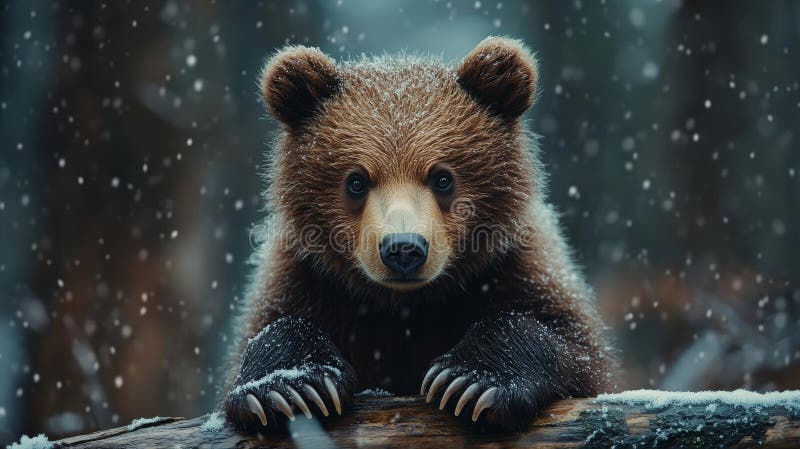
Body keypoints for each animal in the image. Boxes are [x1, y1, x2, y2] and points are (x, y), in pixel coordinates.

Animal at [222, 36, 611, 434]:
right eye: (356, 181)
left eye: (442, 178)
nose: (403, 249)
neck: (405, 306)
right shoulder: (307, 280)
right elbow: (271, 330)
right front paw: (289, 386)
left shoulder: (515, 270)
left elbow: (576, 353)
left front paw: (470, 381)